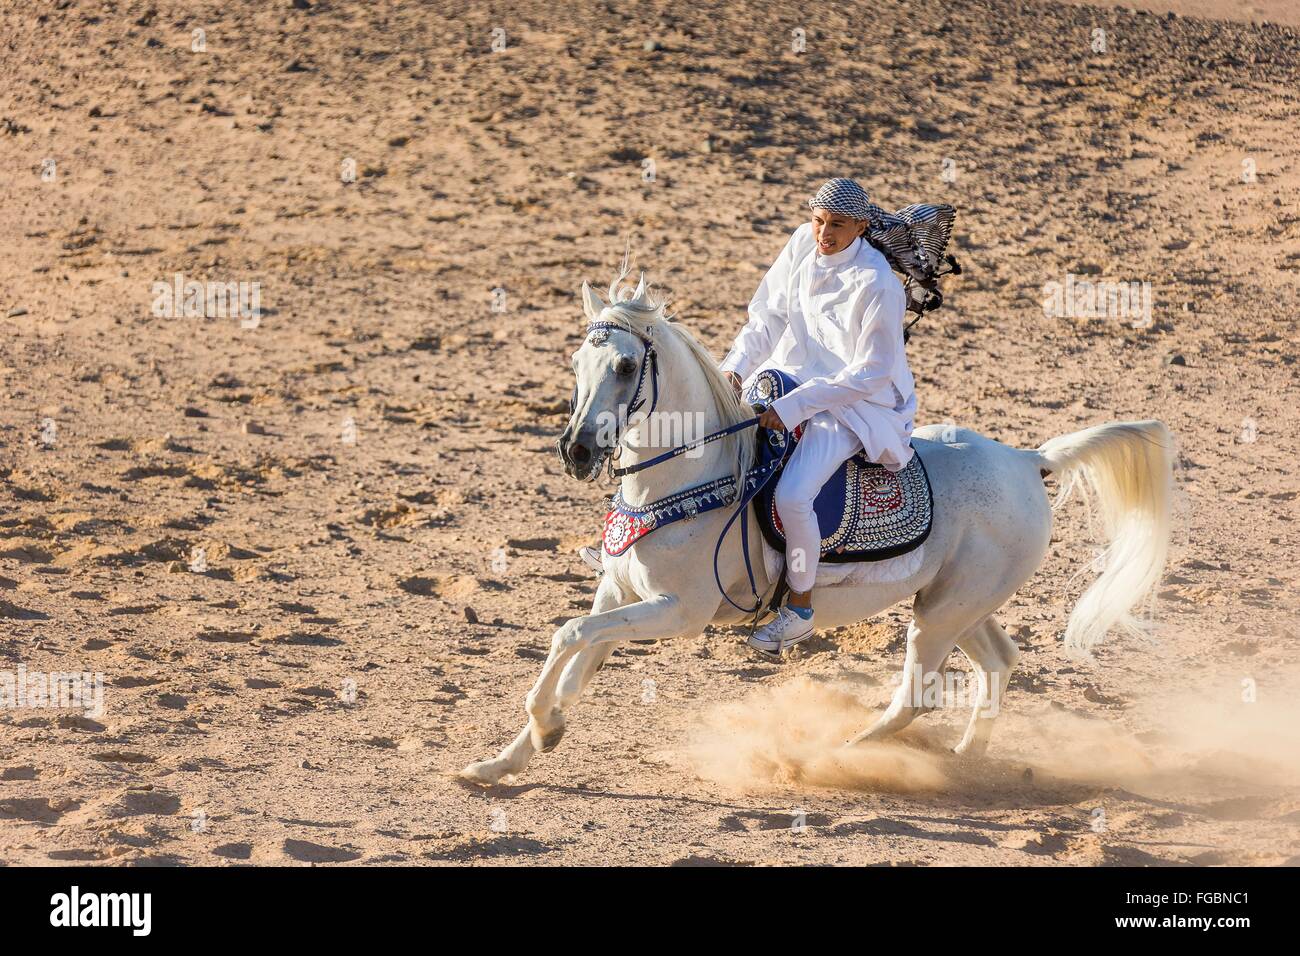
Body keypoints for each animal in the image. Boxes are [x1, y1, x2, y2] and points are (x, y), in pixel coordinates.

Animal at [459, 267, 1173, 786]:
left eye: (627, 368)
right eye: (575, 365)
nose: (576, 451)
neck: (687, 476)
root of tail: (1028, 460)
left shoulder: (677, 612)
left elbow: (569, 636)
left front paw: (543, 726)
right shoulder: (621, 594)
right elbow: (575, 654)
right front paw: (510, 756)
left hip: (942, 616)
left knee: (917, 696)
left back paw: (836, 755)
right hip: (956, 604)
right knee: (999, 662)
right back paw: (967, 759)